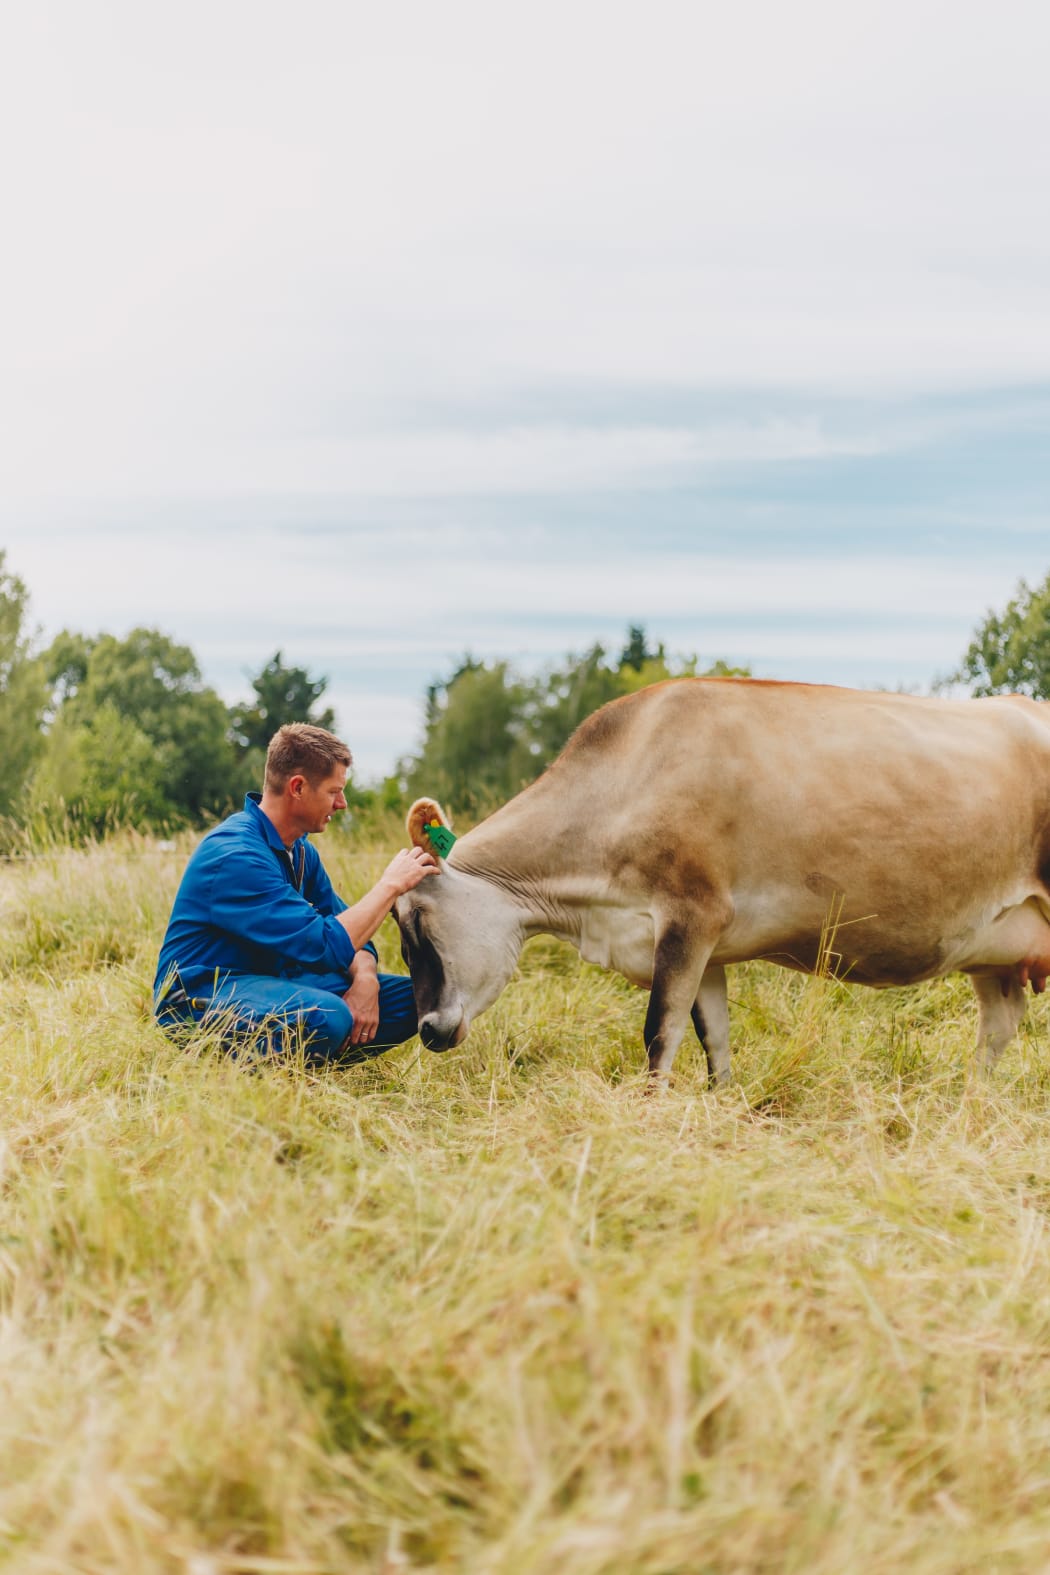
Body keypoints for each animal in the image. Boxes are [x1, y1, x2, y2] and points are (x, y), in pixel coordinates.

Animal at [395, 679, 1050, 1083]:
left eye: (417, 921)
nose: (426, 1031)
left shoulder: (691, 915)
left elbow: (659, 1034)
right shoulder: (705, 945)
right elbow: (712, 1038)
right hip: (997, 954)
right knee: (995, 1034)